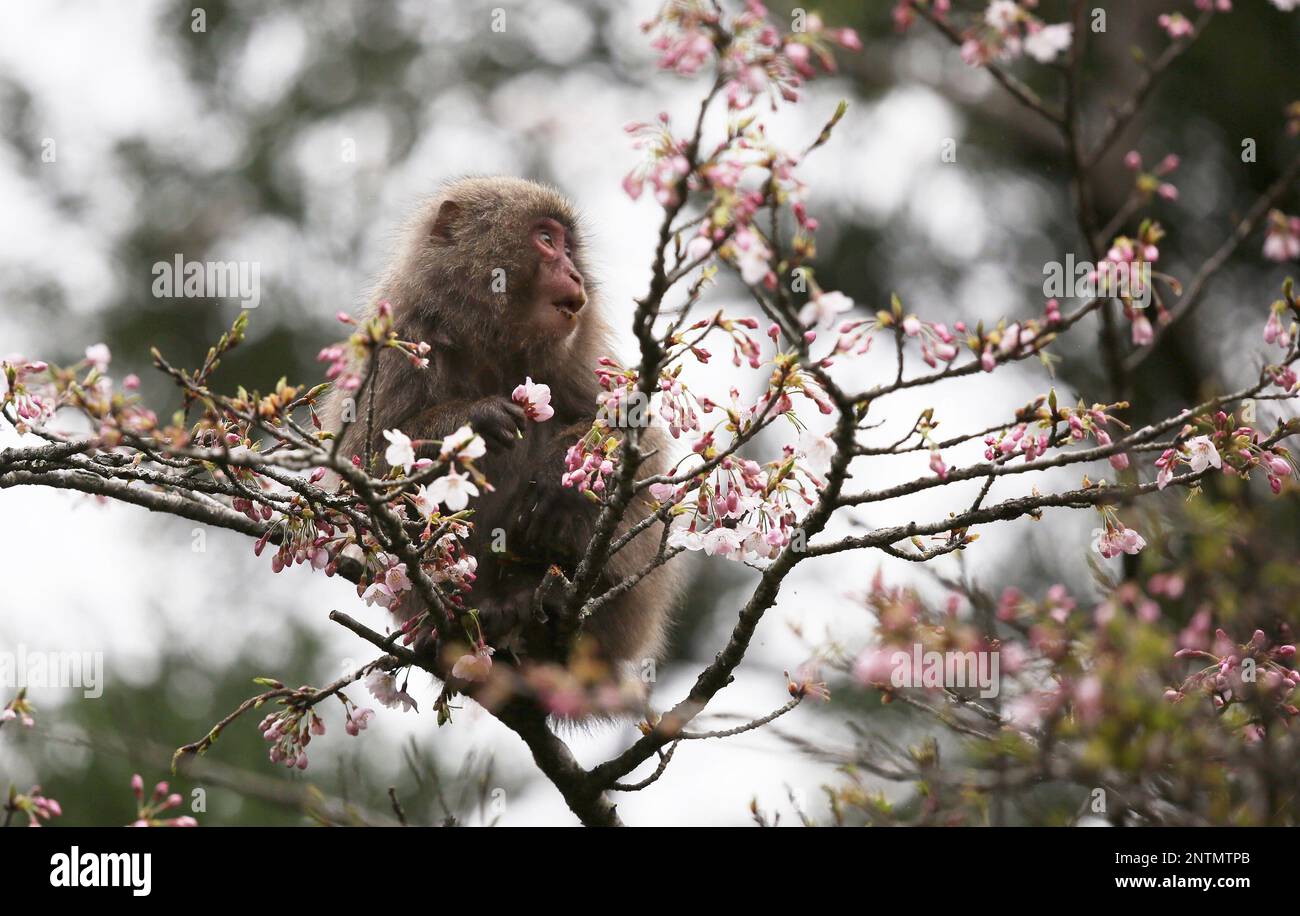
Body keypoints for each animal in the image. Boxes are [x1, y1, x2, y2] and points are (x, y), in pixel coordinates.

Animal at [319, 176, 681, 683]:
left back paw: (534, 595)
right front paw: (478, 417)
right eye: (546, 239)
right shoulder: (398, 336)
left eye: (570, 248)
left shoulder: (579, 339)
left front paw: (557, 480)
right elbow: (364, 467)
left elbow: (633, 425)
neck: (490, 336)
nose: (575, 274)